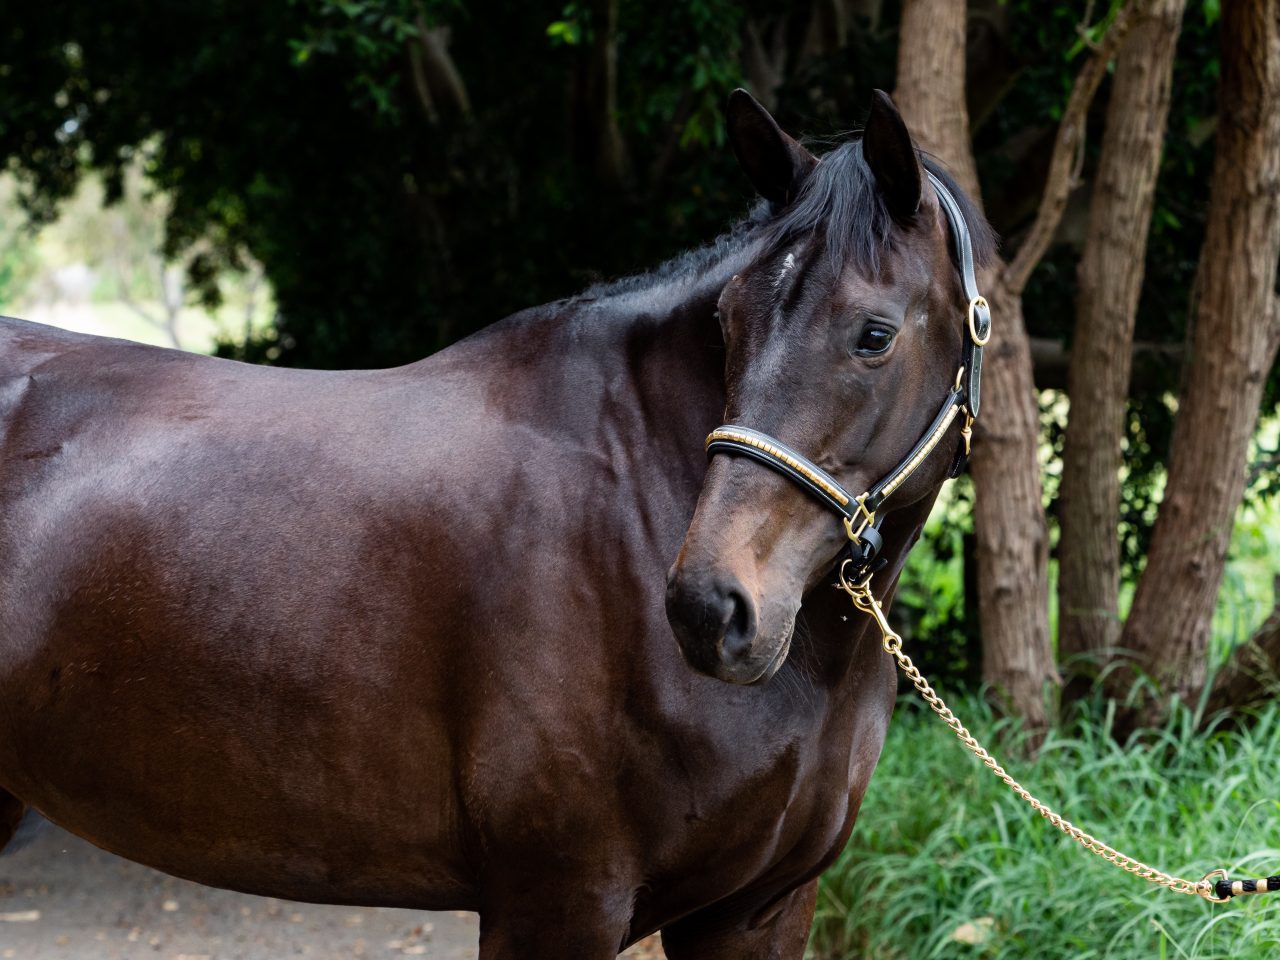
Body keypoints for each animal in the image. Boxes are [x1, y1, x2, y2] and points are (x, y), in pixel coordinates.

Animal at [0, 88, 992, 958]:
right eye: (728, 319)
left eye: (874, 334)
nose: (711, 608)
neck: (631, 494)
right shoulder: (558, 901)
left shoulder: (759, 911)